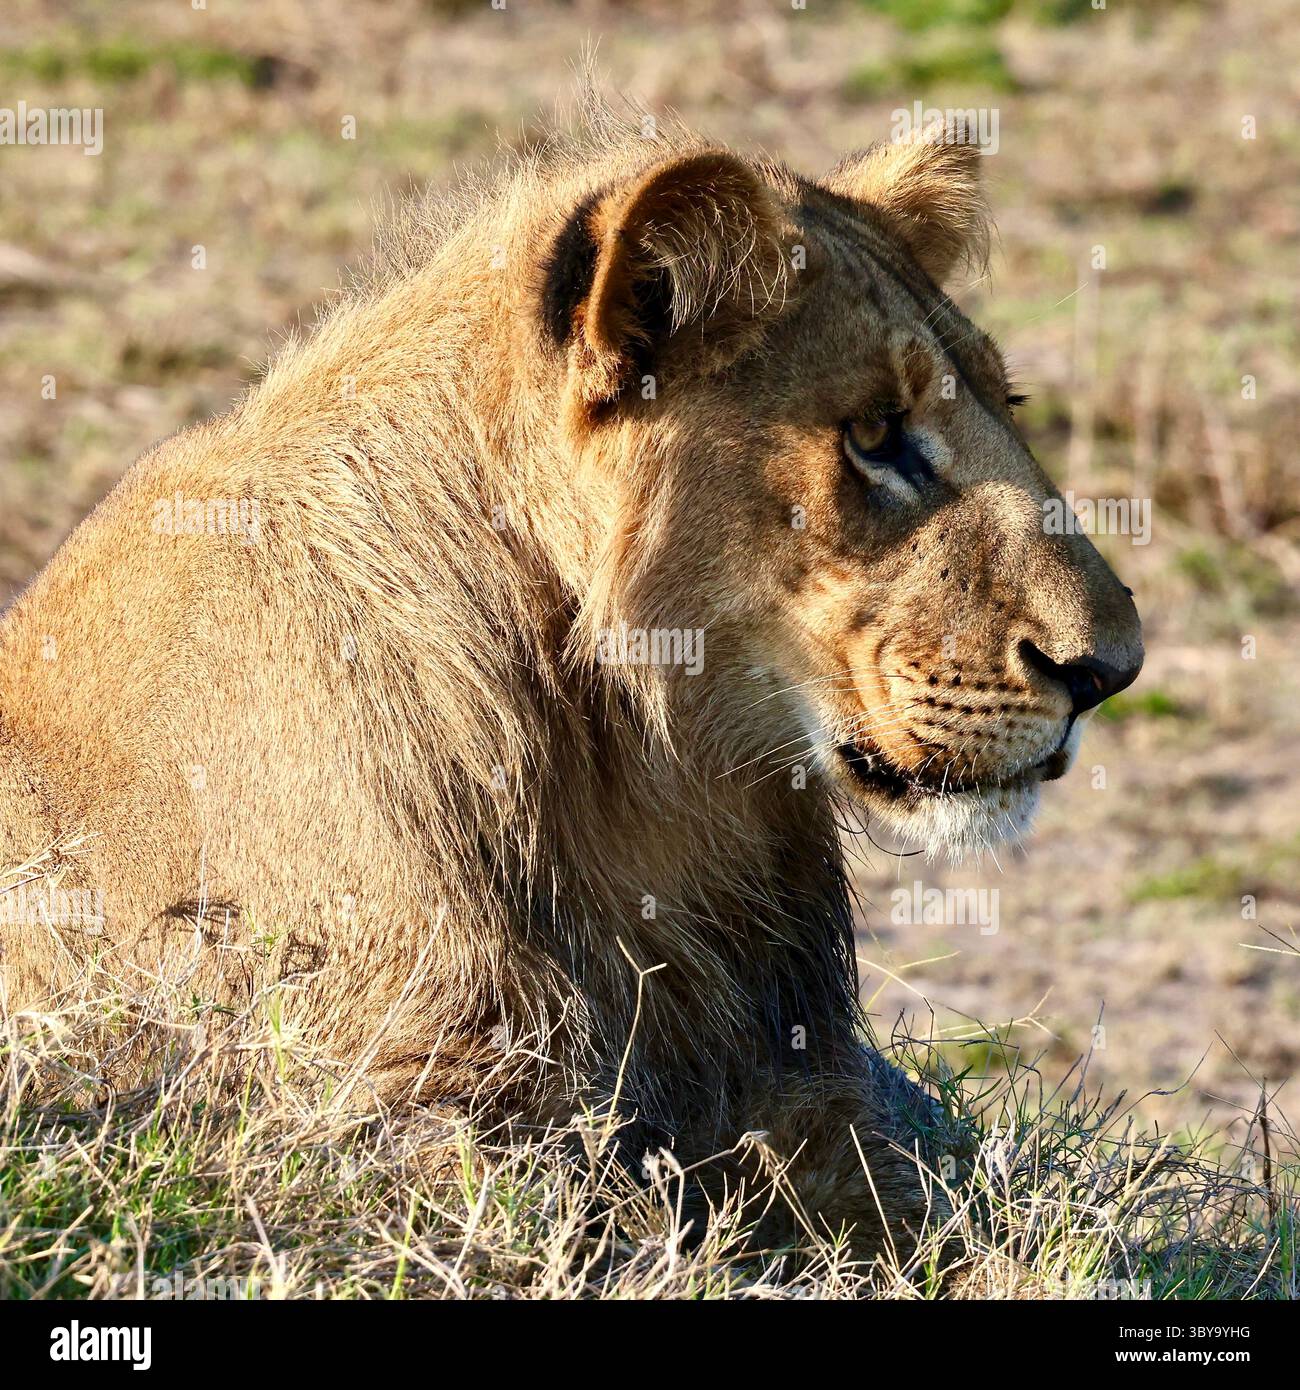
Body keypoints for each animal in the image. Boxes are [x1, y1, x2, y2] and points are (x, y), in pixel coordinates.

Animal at [0, 101, 1142, 1260]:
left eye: (1009, 403)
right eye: (872, 433)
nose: (1110, 670)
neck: (643, 778)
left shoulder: (814, 1094)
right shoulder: (404, 1110)